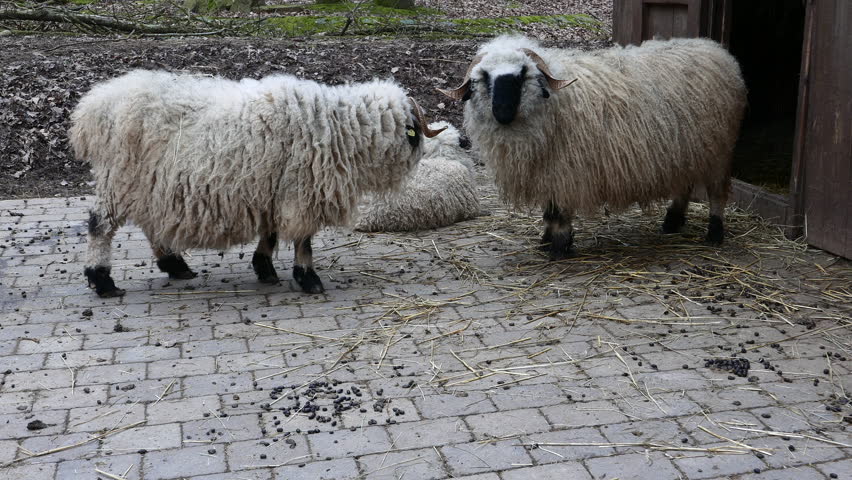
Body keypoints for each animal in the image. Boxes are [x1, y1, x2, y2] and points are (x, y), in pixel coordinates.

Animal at [70, 69, 445, 297]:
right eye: (414, 129)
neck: (339, 130)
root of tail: (93, 109)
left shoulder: (271, 190)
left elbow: (272, 232)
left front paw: (264, 268)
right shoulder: (301, 191)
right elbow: (304, 240)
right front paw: (308, 279)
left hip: (149, 184)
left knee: (150, 225)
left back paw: (175, 266)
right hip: (120, 179)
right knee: (99, 225)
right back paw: (102, 280)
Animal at [439, 35, 747, 258]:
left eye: (523, 73)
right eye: (484, 77)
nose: (501, 112)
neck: (554, 106)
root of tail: (716, 49)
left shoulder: (566, 171)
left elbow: (559, 213)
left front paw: (559, 248)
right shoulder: (549, 172)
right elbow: (549, 211)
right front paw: (546, 241)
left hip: (719, 150)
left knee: (717, 194)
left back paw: (714, 234)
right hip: (686, 149)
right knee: (684, 184)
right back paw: (672, 222)